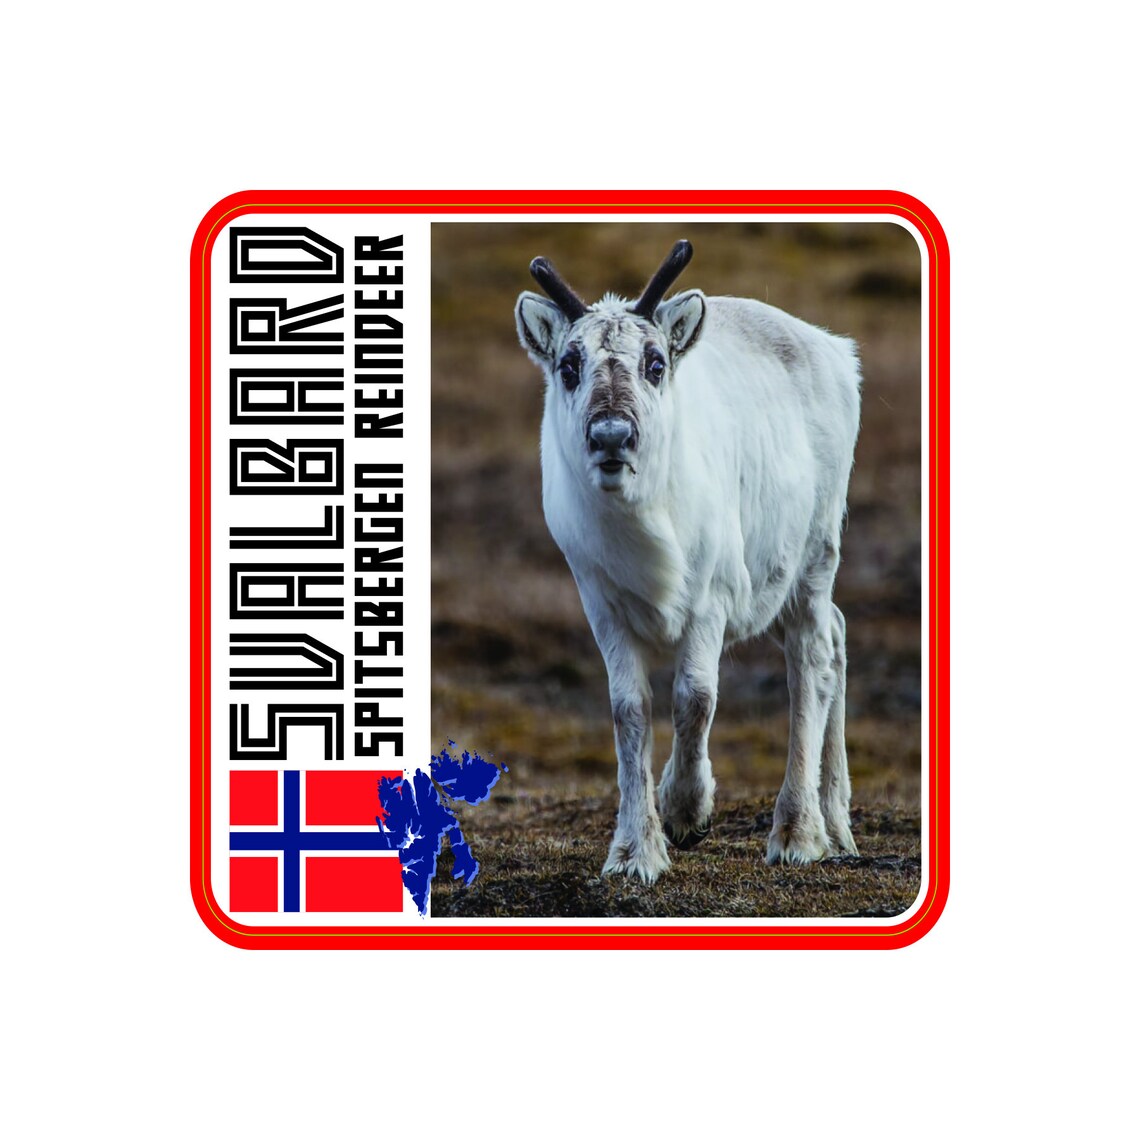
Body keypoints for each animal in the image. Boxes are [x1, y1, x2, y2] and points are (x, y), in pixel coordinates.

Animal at [515, 240, 862, 883]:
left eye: (655, 363)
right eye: (568, 365)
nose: (611, 435)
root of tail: (835, 351)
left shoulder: (711, 598)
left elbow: (694, 698)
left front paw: (685, 811)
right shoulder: (600, 600)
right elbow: (629, 709)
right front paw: (635, 850)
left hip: (816, 555)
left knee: (812, 662)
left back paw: (800, 831)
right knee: (837, 634)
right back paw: (838, 826)